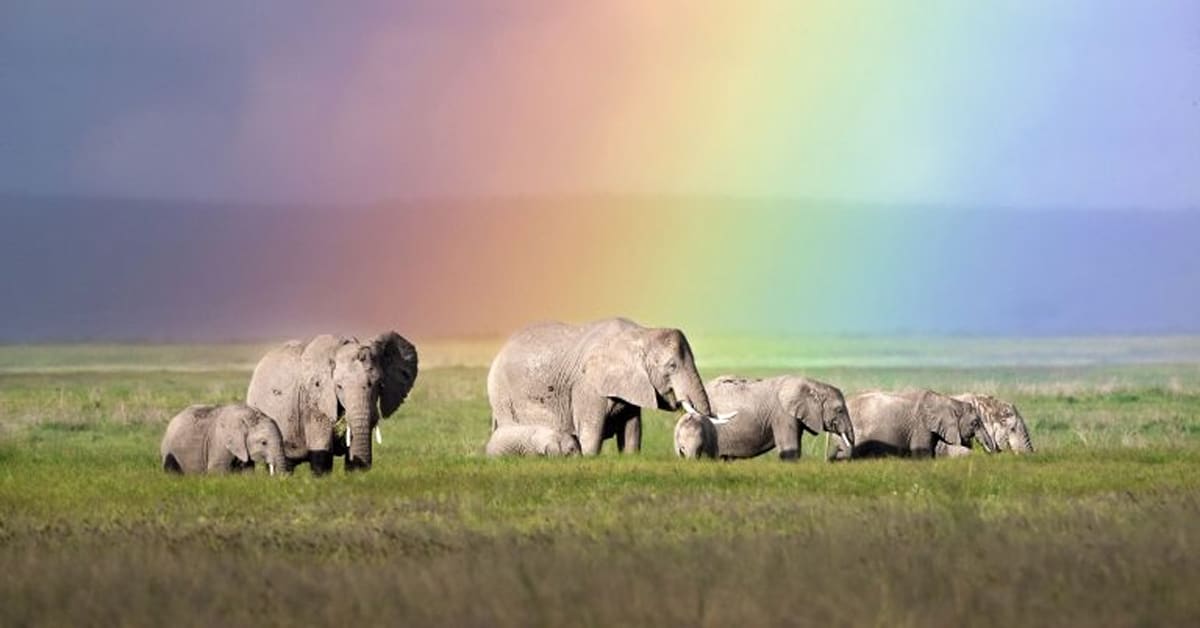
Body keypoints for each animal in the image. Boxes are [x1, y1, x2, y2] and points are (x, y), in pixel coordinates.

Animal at [487, 318, 713, 456]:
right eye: (672, 366)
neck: (641, 334)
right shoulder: (587, 386)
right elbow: (591, 432)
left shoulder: (630, 384)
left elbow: (632, 430)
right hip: (502, 393)